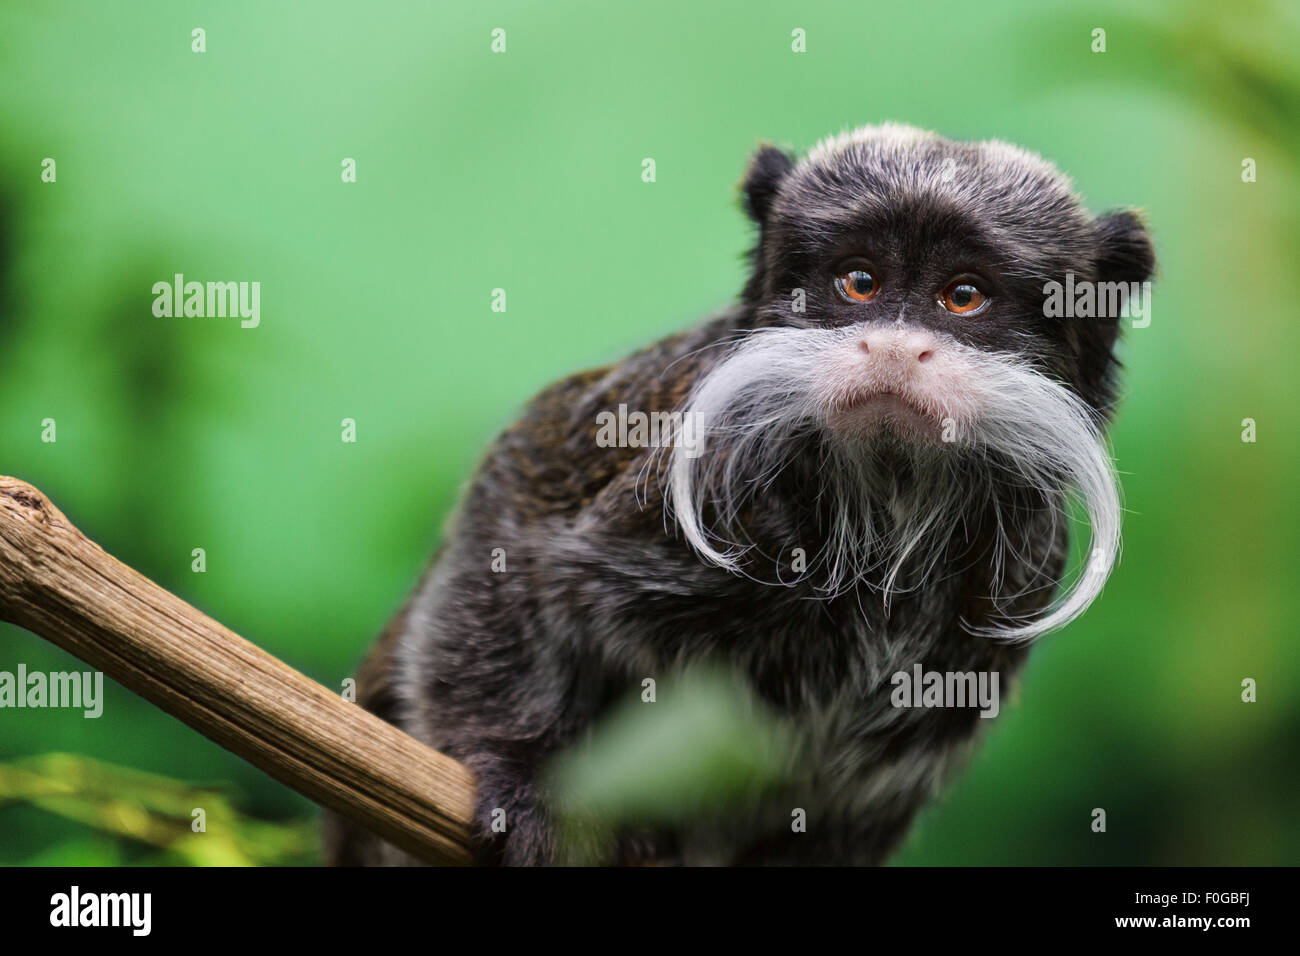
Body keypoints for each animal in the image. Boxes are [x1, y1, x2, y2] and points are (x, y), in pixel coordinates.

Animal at [323, 123, 1155, 866]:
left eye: (963, 296)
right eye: (859, 282)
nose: (892, 347)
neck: (885, 508)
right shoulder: (665, 466)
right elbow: (514, 525)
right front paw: (521, 778)